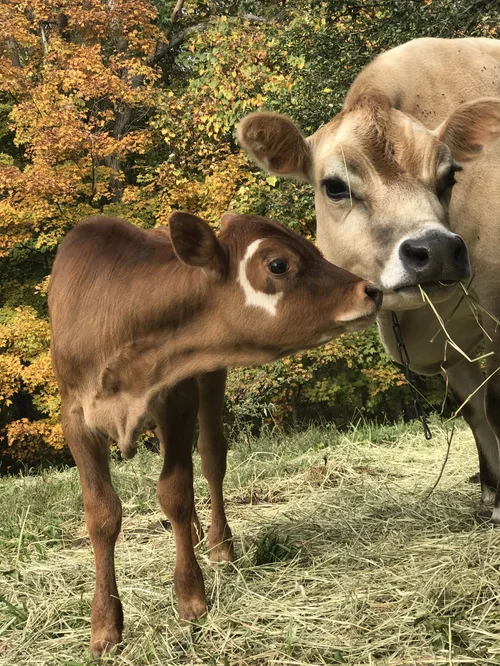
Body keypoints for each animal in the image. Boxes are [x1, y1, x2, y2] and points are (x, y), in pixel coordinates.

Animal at [48, 211, 381, 657]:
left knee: (211, 457)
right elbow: (101, 514)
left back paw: (219, 544)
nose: (372, 290)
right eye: (279, 264)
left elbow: (176, 491)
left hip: (211, 376)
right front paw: (104, 628)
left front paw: (191, 598)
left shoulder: (179, 395)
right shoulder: (74, 416)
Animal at [237, 36, 500, 522]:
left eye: (450, 176)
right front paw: (492, 493)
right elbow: (476, 411)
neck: (419, 324)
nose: (436, 251)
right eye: (335, 186)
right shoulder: (451, 351)